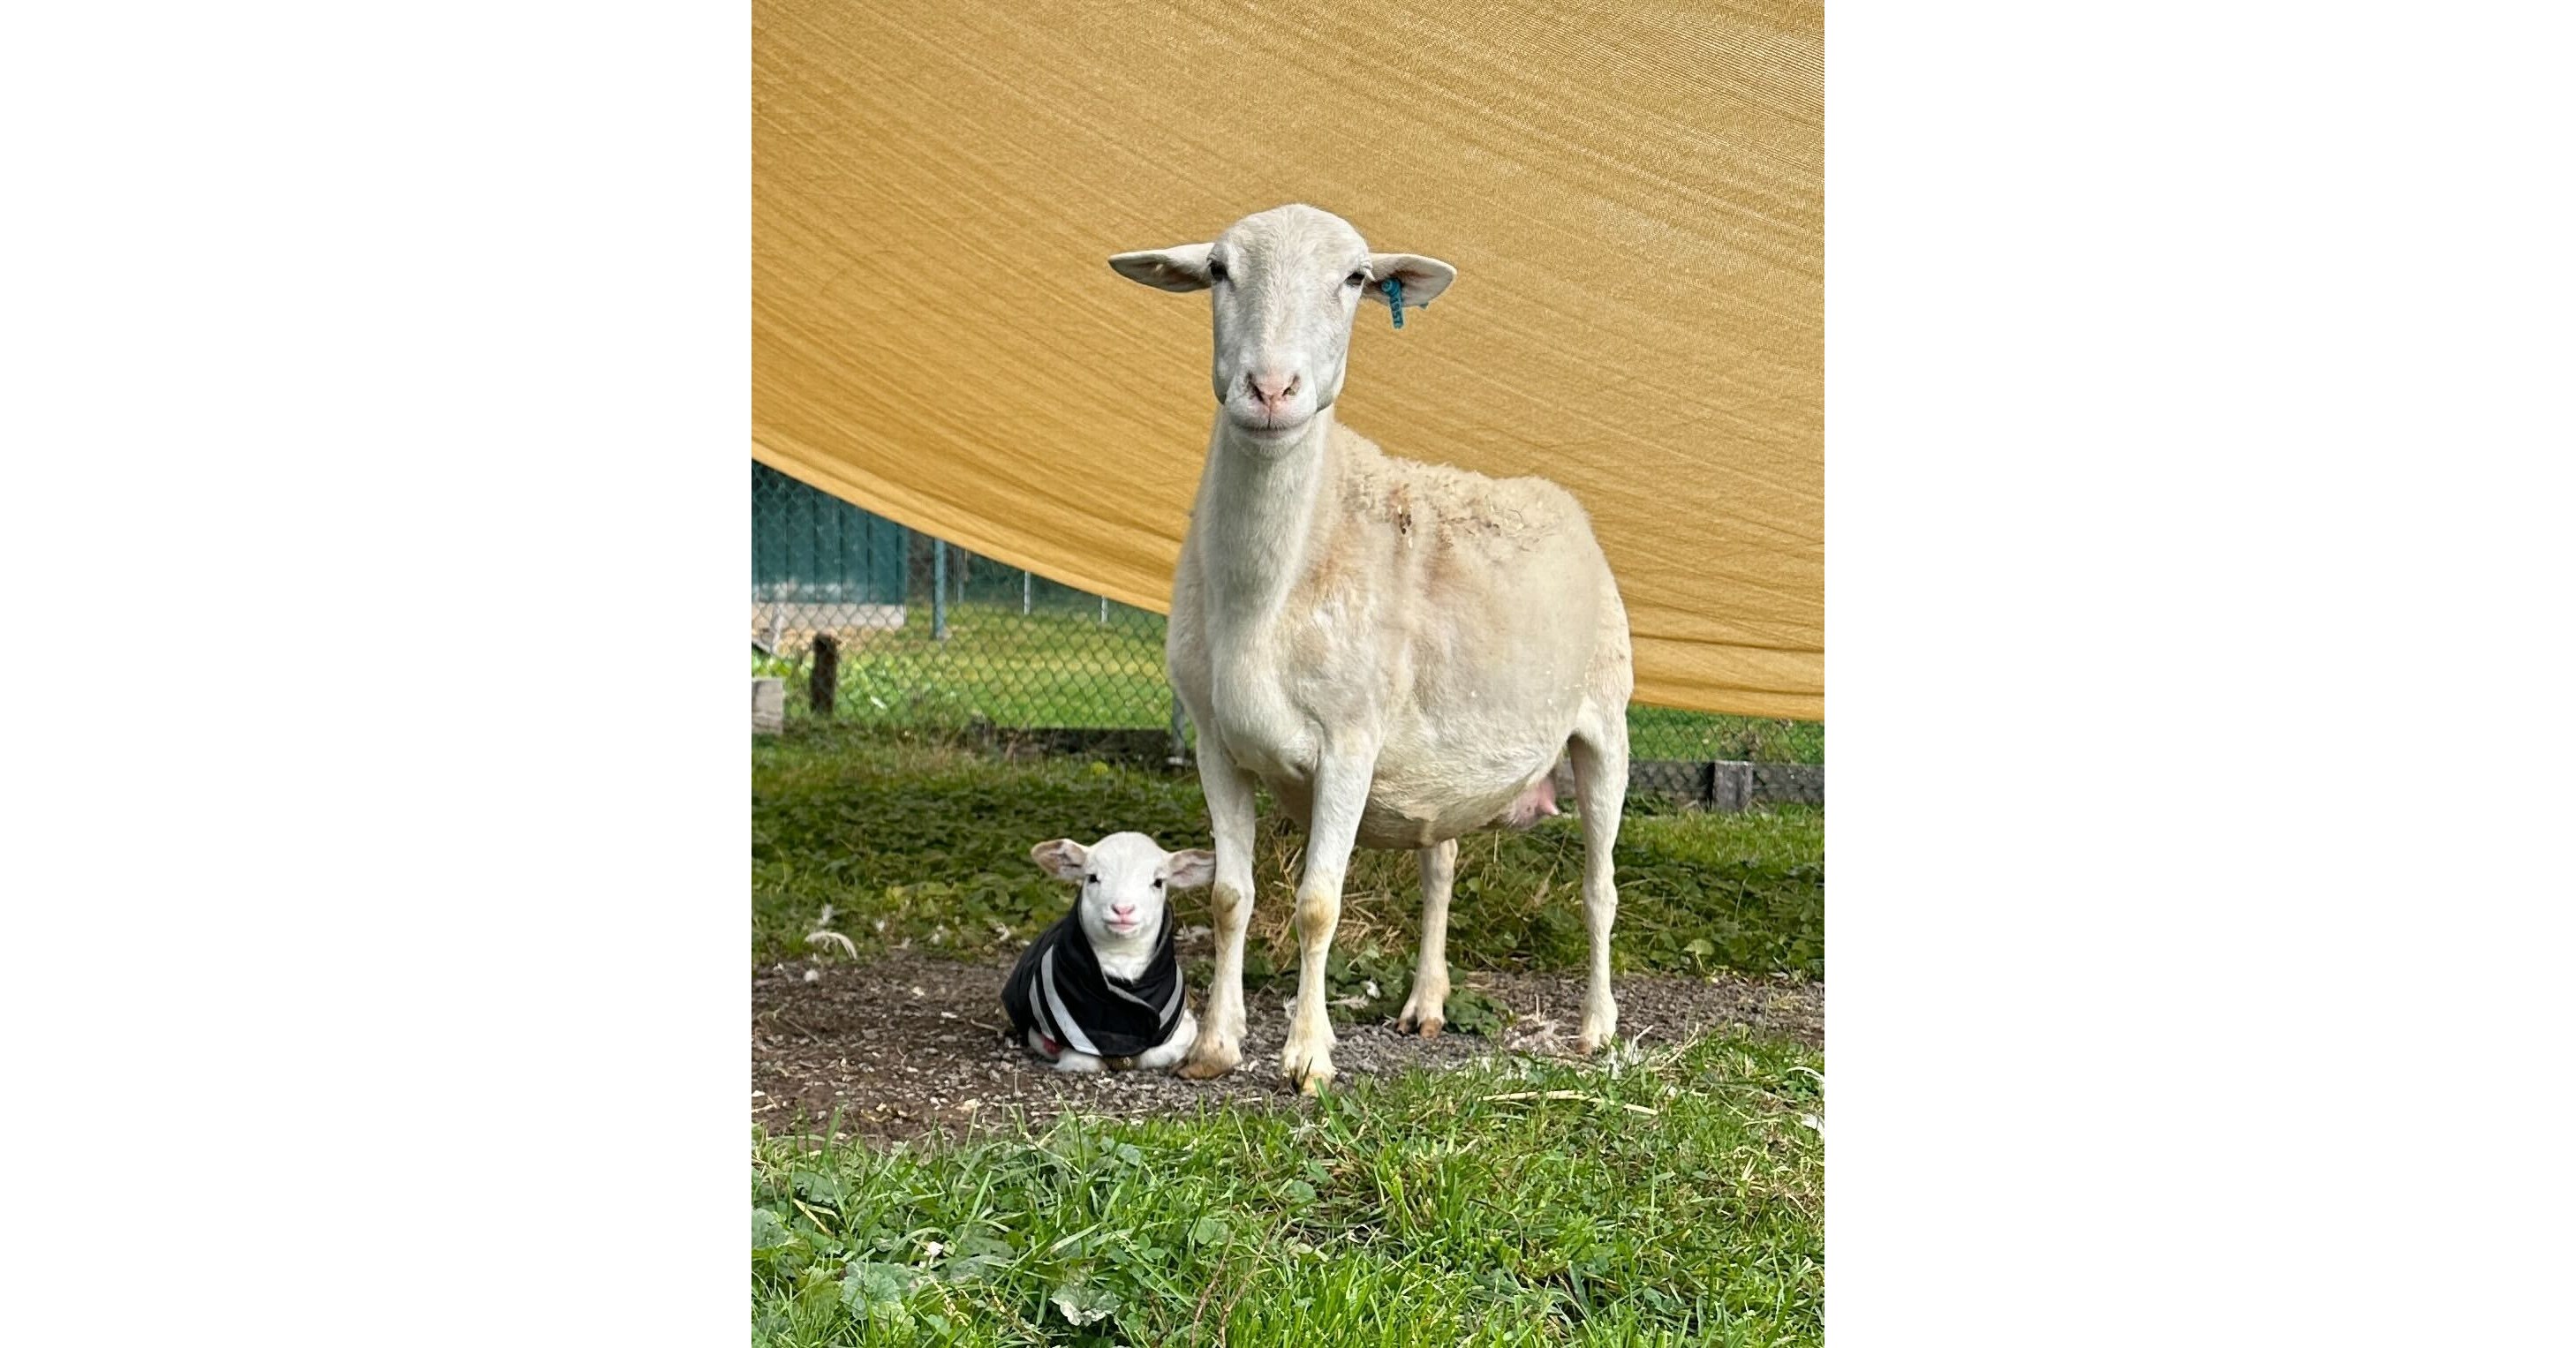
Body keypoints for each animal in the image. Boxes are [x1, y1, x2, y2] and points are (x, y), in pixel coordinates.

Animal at [1002, 832, 1214, 1073]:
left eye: (1158, 882)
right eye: (1092, 877)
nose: (1123, 909)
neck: (1122, 959)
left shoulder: (1181, 1025)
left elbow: (1159, 1052)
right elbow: (1081, 1058)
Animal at [1109, 203, 1635, 1094]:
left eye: (1354, 278)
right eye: (1216, 270)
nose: (1271, 390)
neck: (1269, 592)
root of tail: (1556, 498)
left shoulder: (1349, 739)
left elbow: (1318, 902)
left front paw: (1306, 1056)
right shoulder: (1215, 739)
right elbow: (1230, 897)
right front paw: (1215, 1044)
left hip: (1606, 721)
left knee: (1599, 888)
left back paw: (1596, 1026)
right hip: (1445, 762)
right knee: (1440, 868)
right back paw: (1426, 1002)